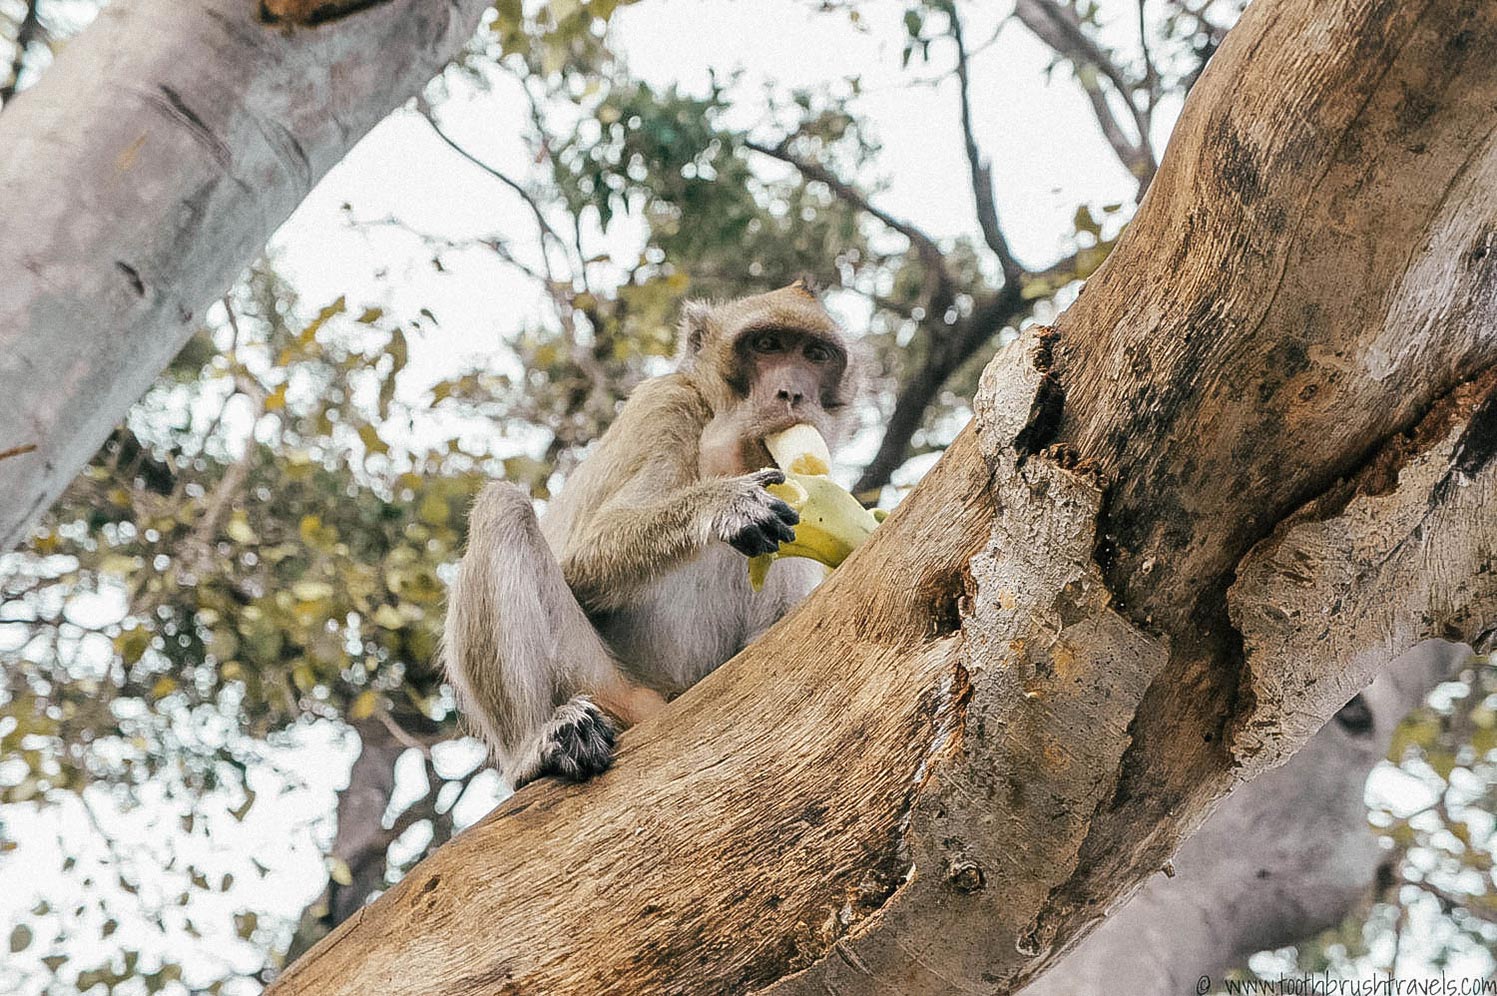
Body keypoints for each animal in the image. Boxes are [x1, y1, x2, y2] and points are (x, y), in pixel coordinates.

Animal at [442, 279, 859, 789]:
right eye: (767, 345)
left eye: (815, 355)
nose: (792, 393)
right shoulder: (665, 409)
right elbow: (581, 559)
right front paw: (725, 504)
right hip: (602, 683)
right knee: (503, 509)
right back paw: (536, 746)